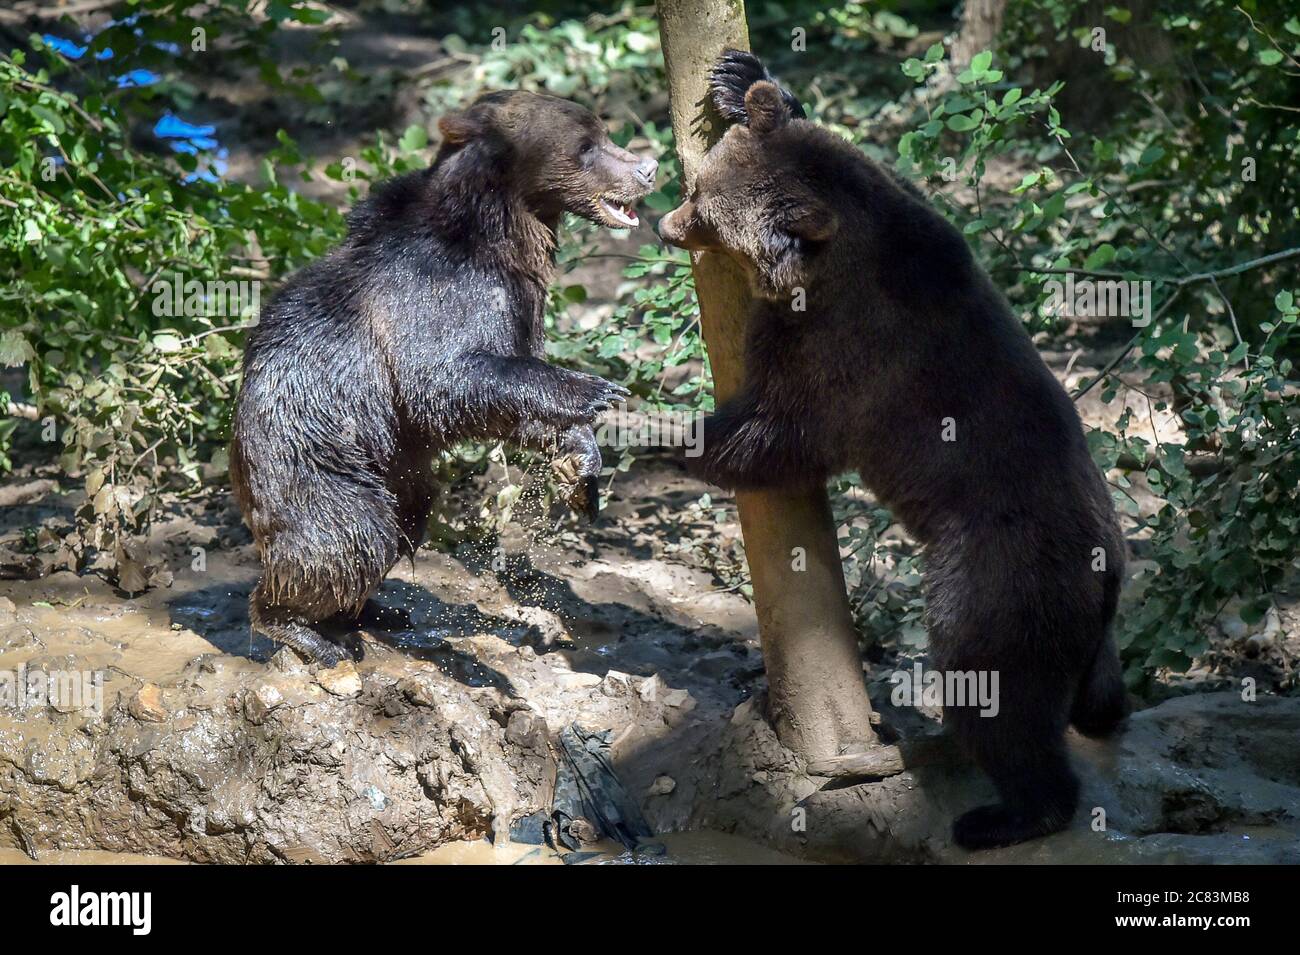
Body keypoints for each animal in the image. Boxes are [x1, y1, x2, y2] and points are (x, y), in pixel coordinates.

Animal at [230, 90, 656, 668]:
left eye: (604, 133)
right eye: (588, 145)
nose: (647, 168)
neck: (504, 230)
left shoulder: (517, 304)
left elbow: (510, 403)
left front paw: (581, 470)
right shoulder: (436, 289)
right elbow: (443, 379)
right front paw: (596, 389)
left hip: (393, 467)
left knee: (407, 518)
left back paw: (371, 612)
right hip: (311, 460)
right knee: (350, 535)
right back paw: (302, 630)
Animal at [657, 50, 1127, 849]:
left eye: (701, 204)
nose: (664, 224)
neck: (834, 263)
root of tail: (1113, 569)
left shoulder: (852, 356)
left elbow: (772, 438)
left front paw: (640, 425)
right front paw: (741, 77)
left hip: (997, 577)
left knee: (995, 691)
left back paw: (1000, 816)